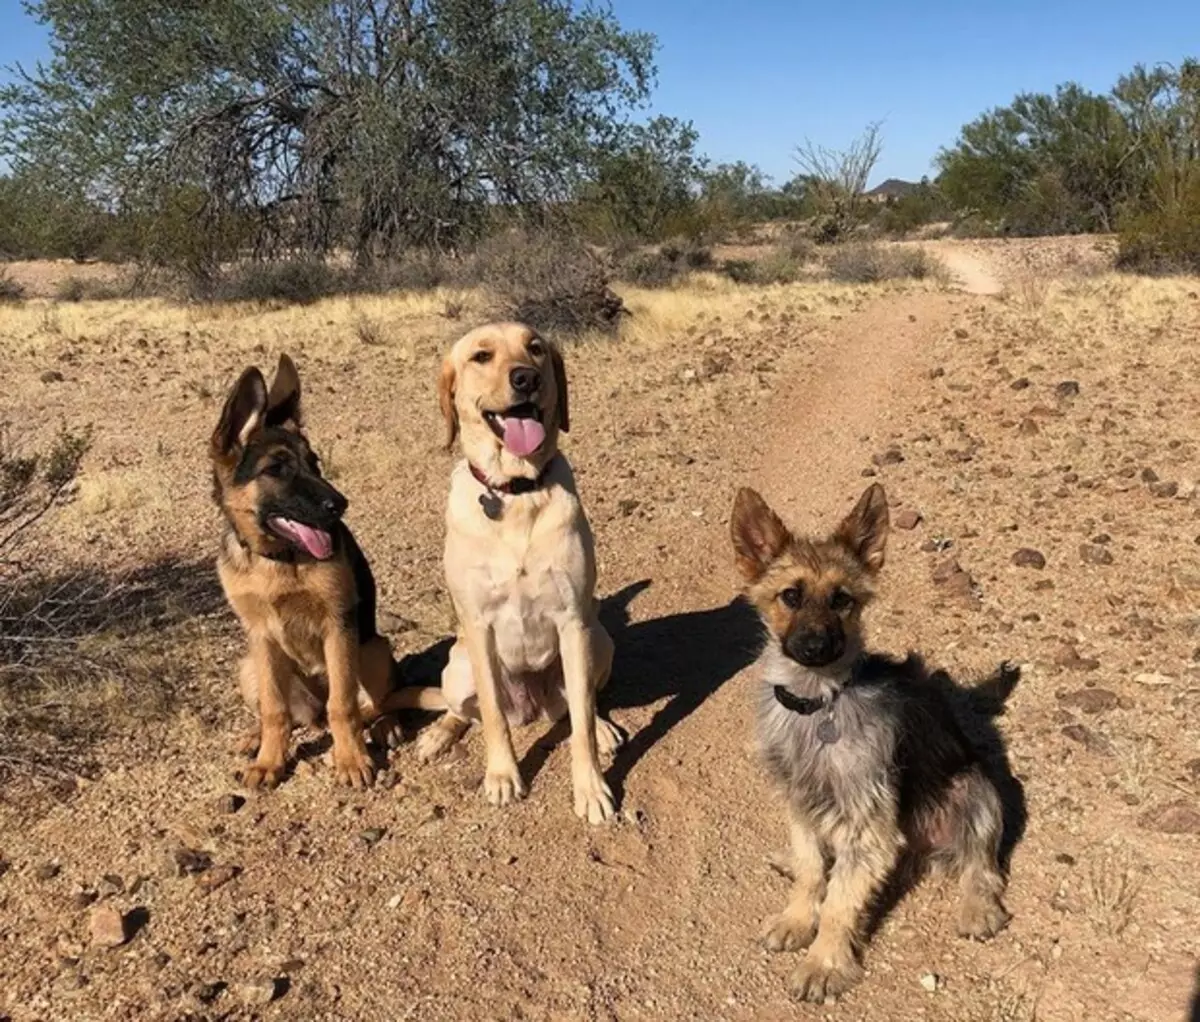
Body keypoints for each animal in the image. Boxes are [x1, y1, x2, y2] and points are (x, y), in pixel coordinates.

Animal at [212, 350, 446, 791]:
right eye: (276, 469)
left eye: (314, 463)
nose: (340, 505)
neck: (280, 559)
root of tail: (314, 712)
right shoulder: (260, 635)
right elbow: (274, 711)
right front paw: (268, 762)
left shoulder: (338, 624)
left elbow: (344, 706)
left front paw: (351, 760)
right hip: (249, 666)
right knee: (290, 715)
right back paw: (255, 737)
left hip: (371, 648)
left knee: (372, 704)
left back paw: (384, 726)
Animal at [420, 323, 624, 825]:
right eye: (481, 356)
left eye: (535, 348)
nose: (526, 378)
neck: (514, 493)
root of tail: (529, 711)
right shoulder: (478, 627)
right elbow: (492, 715)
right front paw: (502, 776)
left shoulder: (573, 622)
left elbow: (582, 722)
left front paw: (591, 789)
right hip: (458, 666)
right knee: (465, 711)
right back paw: (438, 733)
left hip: (598, 639)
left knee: (580, 705)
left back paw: (604, 727)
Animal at [729, 484, 1012, 998]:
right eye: (790, 596)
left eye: (842, 600)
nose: (817, 647)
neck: (819, 701)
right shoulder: (799, 801)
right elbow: (810, 869)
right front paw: (798, 917)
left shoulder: (868, 822)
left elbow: (840, 903)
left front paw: (824, 962)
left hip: (976, 792)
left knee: (983, 866)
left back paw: (977, 907)